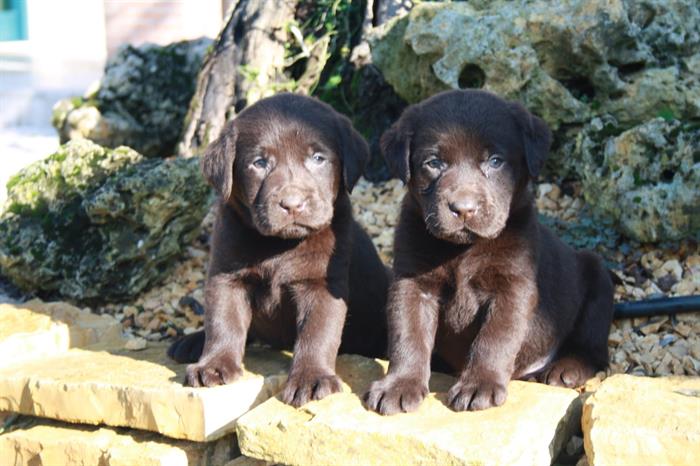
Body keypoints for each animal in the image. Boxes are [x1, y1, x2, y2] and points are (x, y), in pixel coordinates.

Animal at [366, 91, 612, 416]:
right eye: (434, 162)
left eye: (495, 161)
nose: (464, 208)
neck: (462, 250)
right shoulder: (412, 283)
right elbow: (408, 335)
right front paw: (399, 385)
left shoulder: (513, 286)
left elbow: (495, 338)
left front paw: (478, 386)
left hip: (598, 279)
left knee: (595, 349)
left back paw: (565, 368)